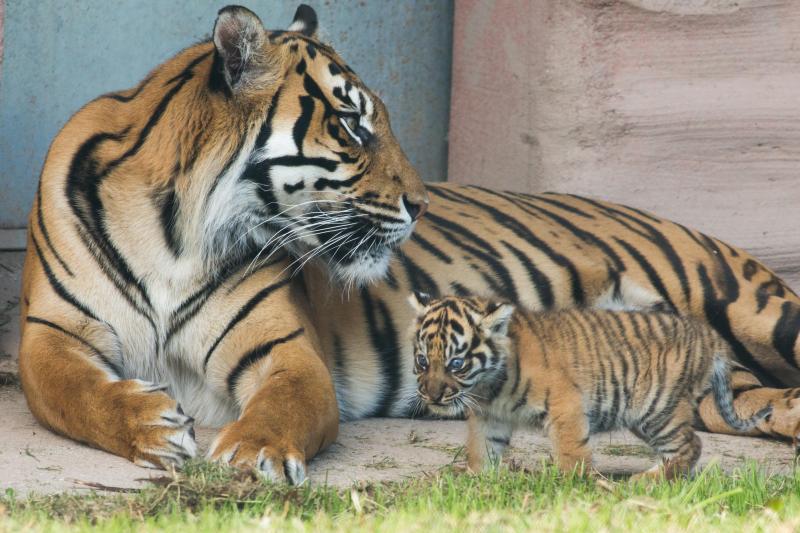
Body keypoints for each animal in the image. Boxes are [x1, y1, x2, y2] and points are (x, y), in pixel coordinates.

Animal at [408, 293, 772, 480]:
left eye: (456, 363)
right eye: (423, 361)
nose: (432, 395)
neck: (487, 386)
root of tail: (710, 336)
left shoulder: (565, 404)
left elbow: (572, 450)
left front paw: (574, 486)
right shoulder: (490, 418)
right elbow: (482, 449)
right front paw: (476, 478)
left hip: (658, 409)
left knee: (690, 445)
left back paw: (645, 483)